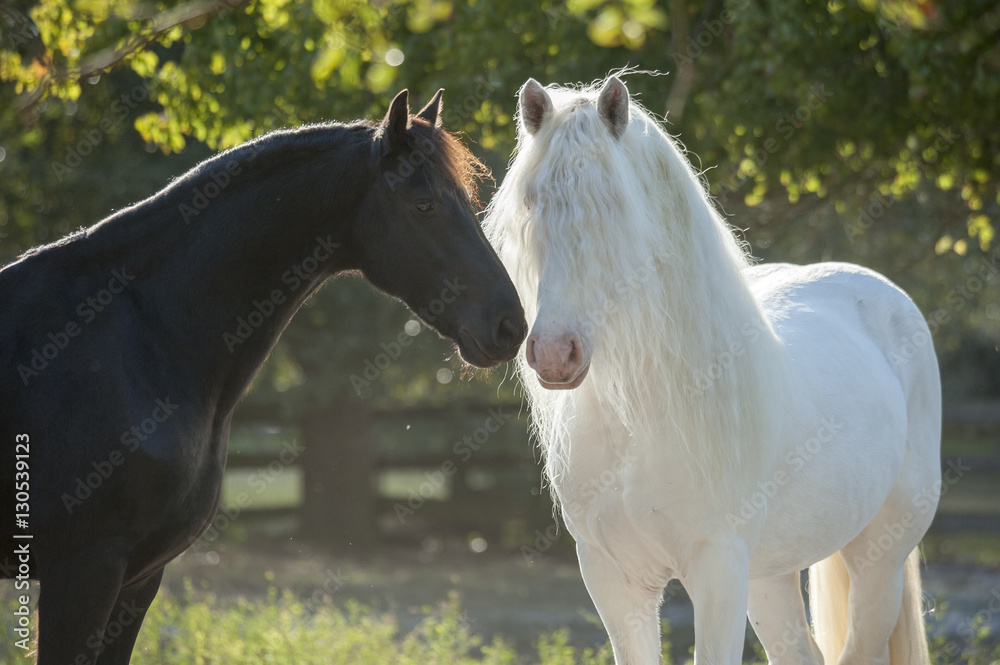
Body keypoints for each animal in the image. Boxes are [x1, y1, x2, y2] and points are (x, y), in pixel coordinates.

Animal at [484, 75, 940, 665]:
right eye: (533, 200)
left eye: (614, 203)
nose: (556, 353)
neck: (639, 422)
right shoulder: (614, 580)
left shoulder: (718, 570)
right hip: (770, 575)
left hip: (876, 560)